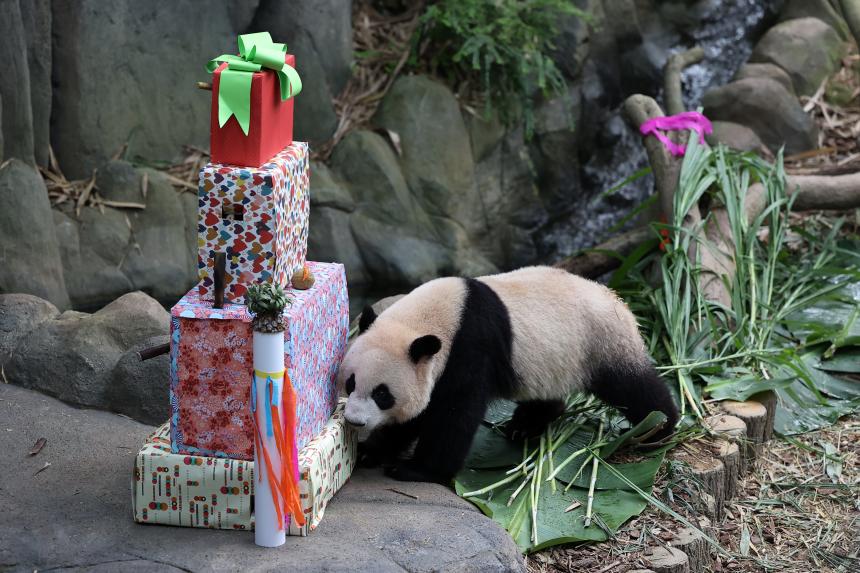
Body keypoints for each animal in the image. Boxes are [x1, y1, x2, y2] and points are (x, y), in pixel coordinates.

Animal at [338, 265, 679, 484]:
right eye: (351, 383)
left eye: (382, 394)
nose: (355, 421)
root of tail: (619, 300)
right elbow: (418, 416)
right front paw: (370, 452)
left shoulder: (470, 349)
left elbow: (453, 414)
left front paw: (416, 470)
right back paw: (526, 426)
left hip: (600, 342)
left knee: (634, 388)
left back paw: (661, 429)